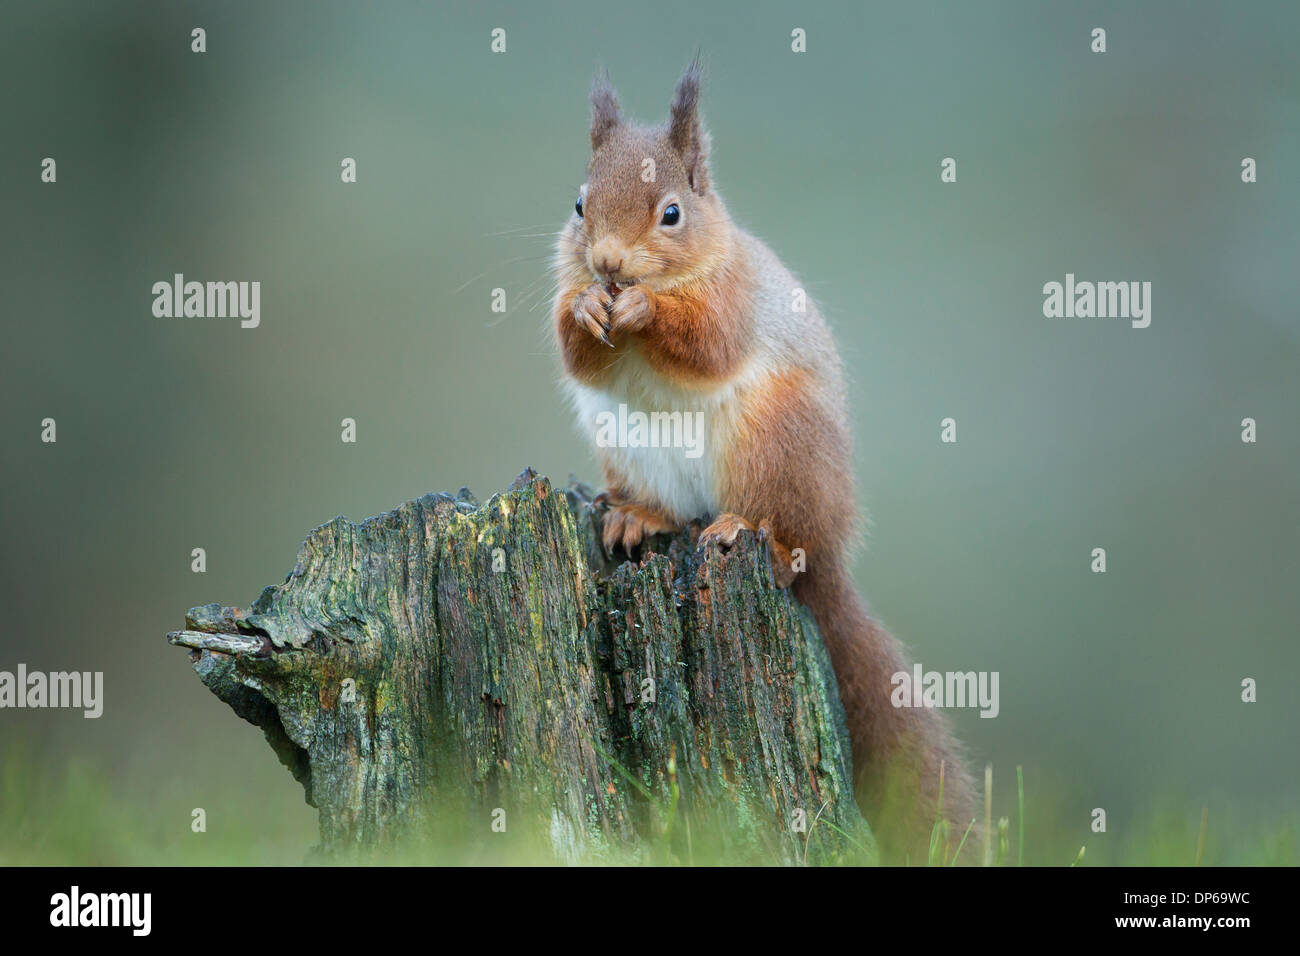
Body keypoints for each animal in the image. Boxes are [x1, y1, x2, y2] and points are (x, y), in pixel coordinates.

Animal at [551, 61, 976, 863]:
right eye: (580, 203)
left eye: (673, 213)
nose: (609, 265)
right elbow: (575, 350)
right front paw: (590, 310)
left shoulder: (736, 299)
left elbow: (706, 342)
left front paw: (644, 313)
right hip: (626, 445)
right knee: (667, 507)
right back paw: (637, 517)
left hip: (774, 443)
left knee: (789, 540)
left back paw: (753, 535)